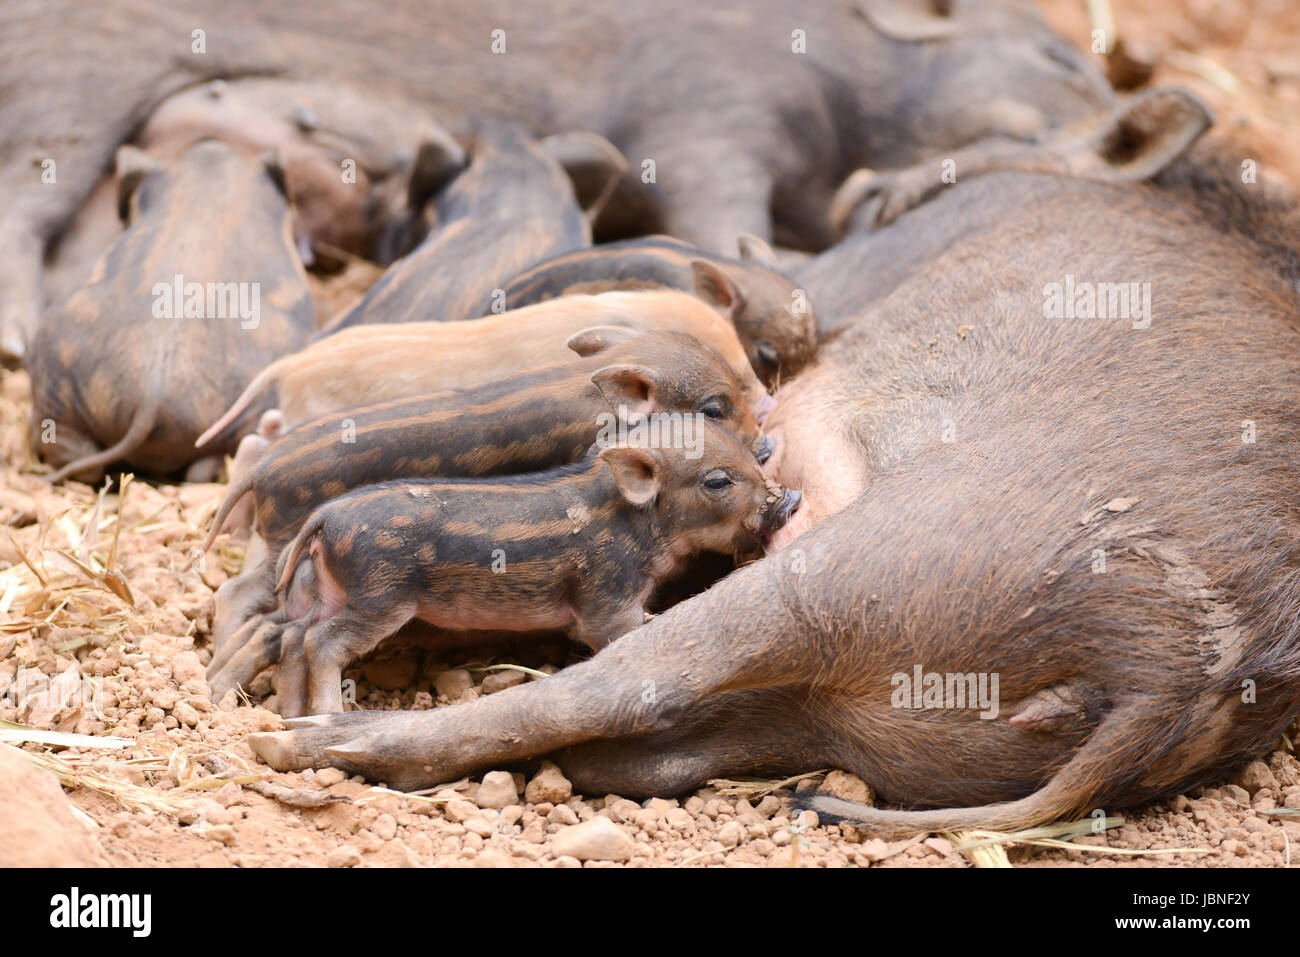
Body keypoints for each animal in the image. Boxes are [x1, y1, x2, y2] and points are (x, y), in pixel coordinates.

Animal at [263, 421, 799, 716]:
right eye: (717, 481)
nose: (791, 498)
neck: (638, 524)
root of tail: (326, 517)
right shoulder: (607, 599)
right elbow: (623, 634)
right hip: (381, 597)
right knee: (320, 642)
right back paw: (328, 714)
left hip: (332, 592)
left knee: (292, 637)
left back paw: (289, 715)